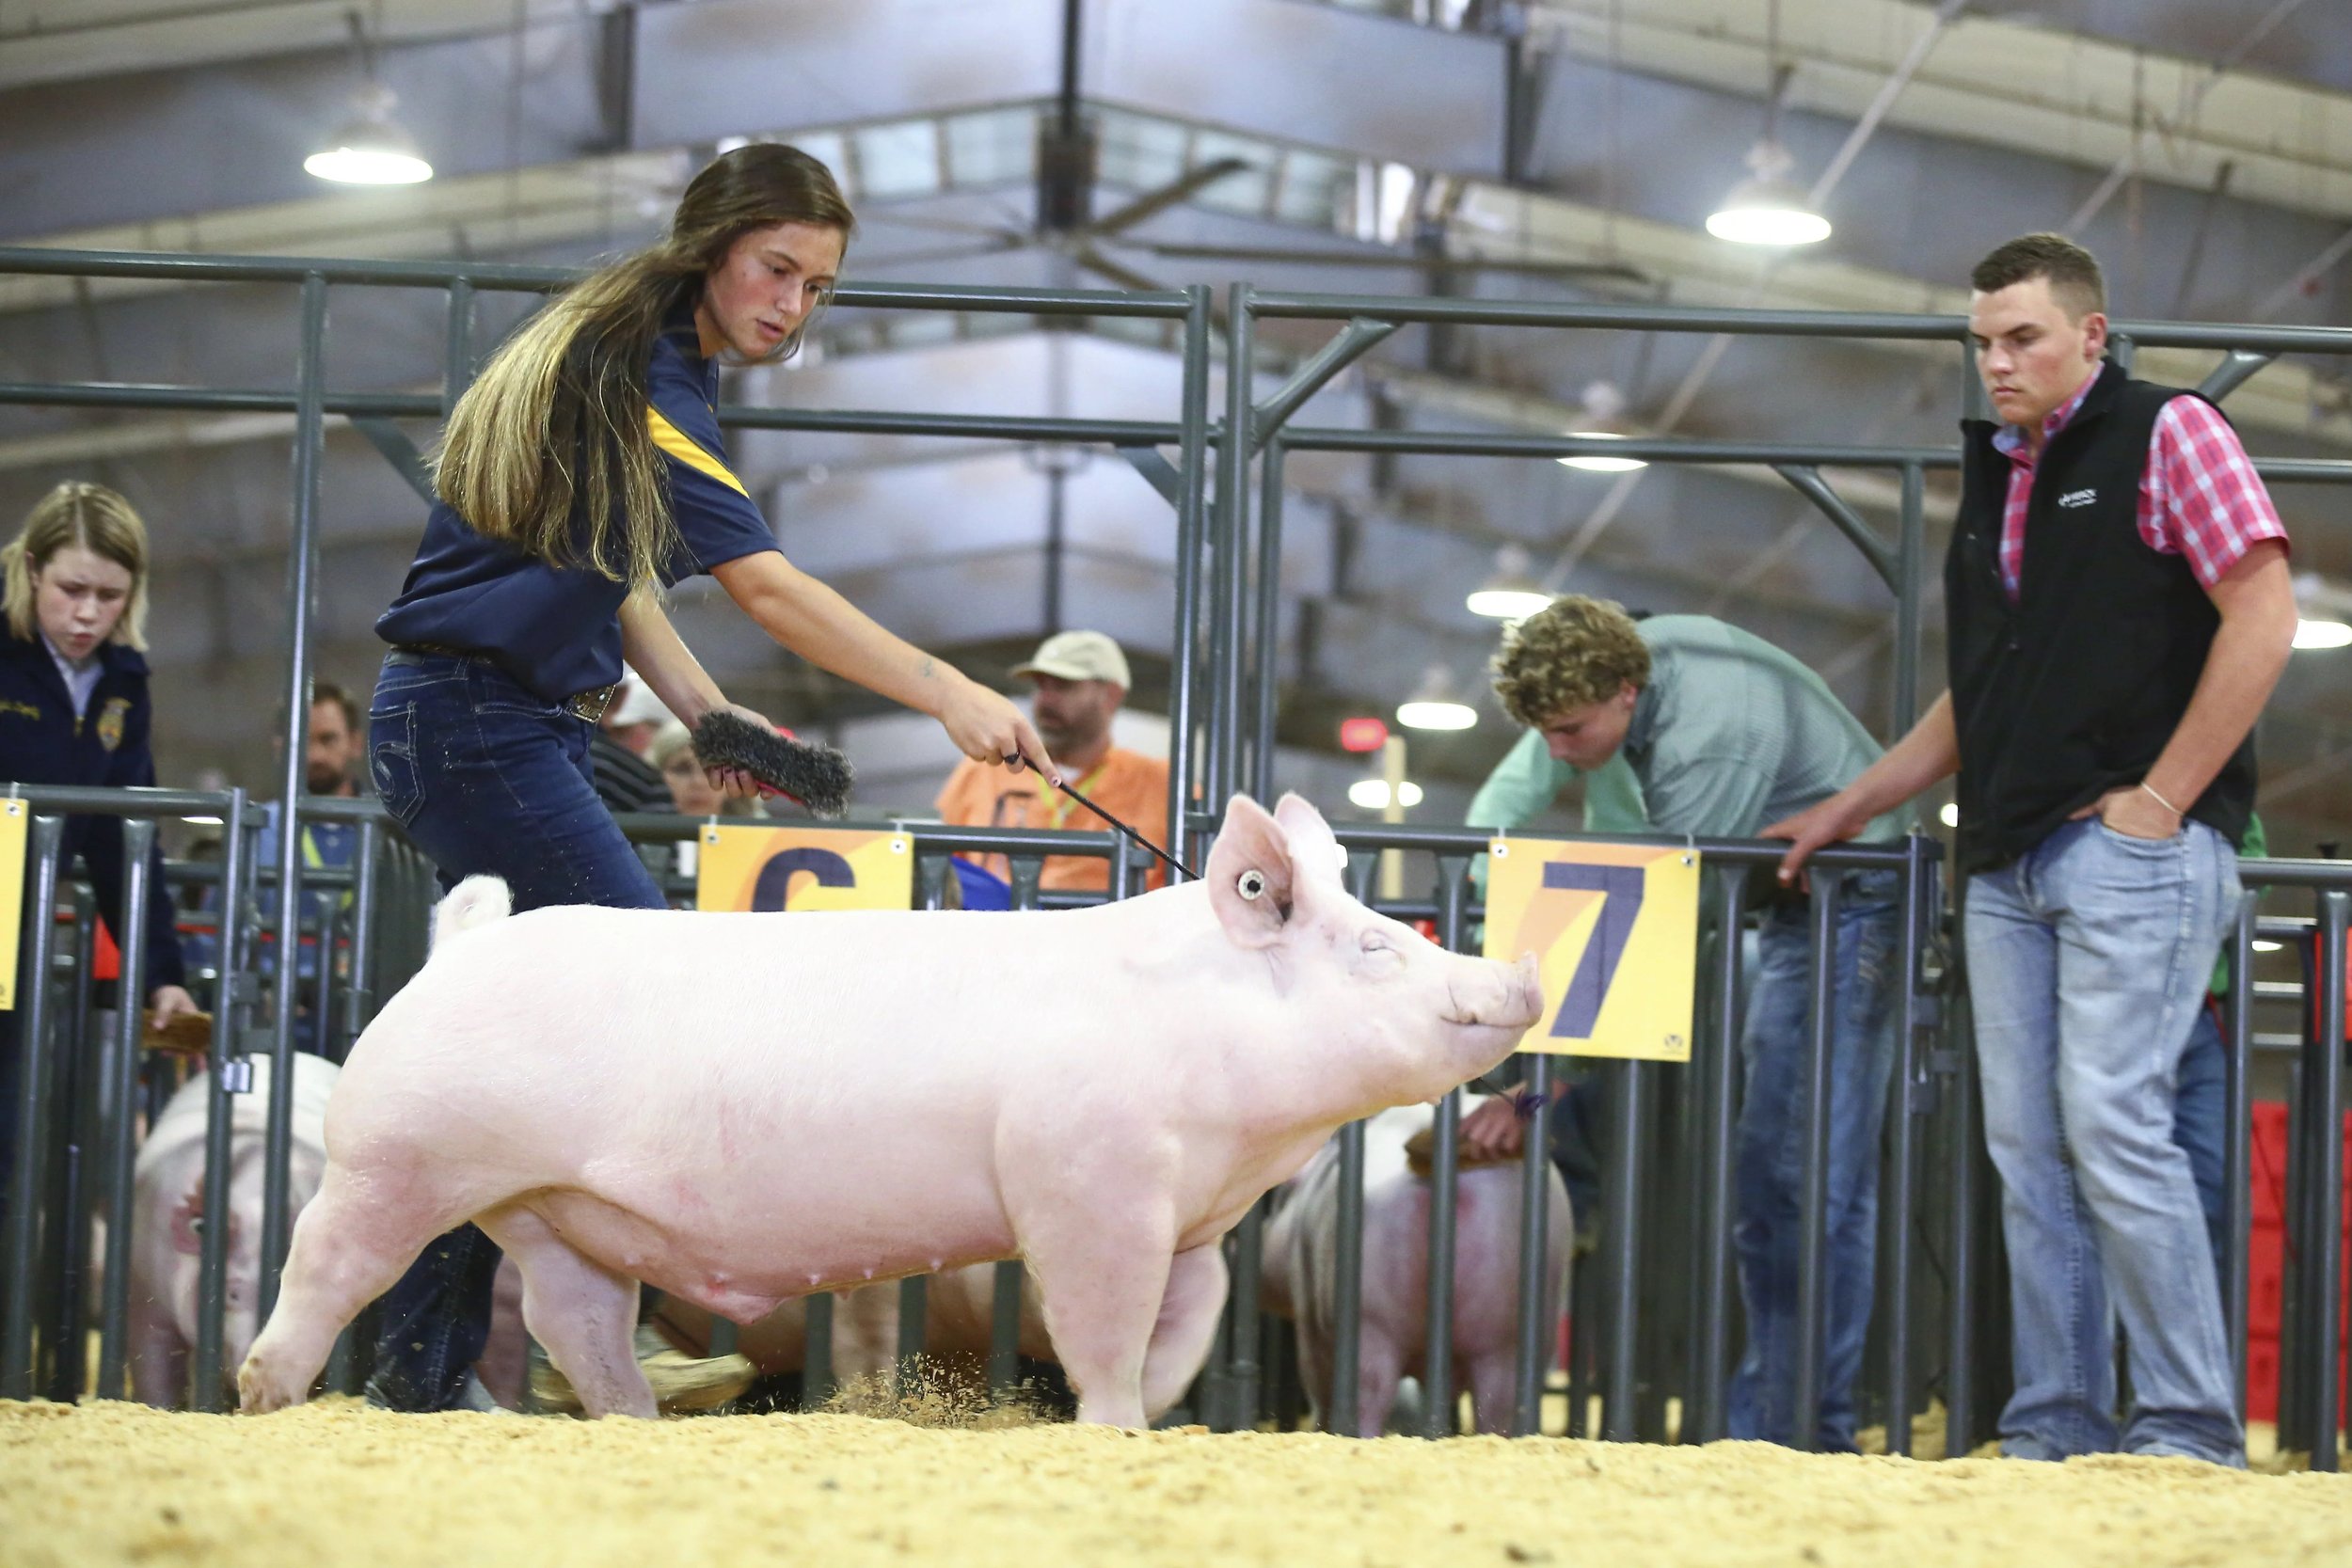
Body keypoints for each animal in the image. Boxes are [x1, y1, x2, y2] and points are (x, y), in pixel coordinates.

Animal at [238, 793, 1543, 1426]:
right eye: (1377, 946)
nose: (1521, 976)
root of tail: (463, 943)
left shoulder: (1190, 1219)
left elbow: (1189, 1319)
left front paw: (1155, 1408)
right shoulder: (1085, 1183)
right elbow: (1098, 1323)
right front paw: (1111, 1424)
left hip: (550, 1212)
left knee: (579, 1323)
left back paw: (641, 1420)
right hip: (397, 1157)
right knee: (329, 1262)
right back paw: (263, 1391)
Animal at [1261, 1096, 1571, 1437]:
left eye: (1278, 1202)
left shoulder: (1309, 1321)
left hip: (1369, 1321)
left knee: (1368, 1397)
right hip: (1508, 1339)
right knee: (1496, 1409)